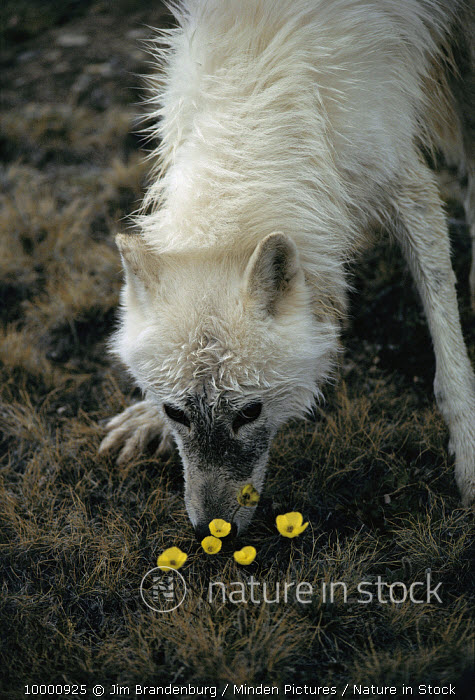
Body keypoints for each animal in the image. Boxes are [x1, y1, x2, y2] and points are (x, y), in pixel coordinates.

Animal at [100, 0, 475, 535]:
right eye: (177, 413)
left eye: (250, 412)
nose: (211, 532)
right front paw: (145, 418)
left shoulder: (406, 182)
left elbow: (447, 345)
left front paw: (467, 451)